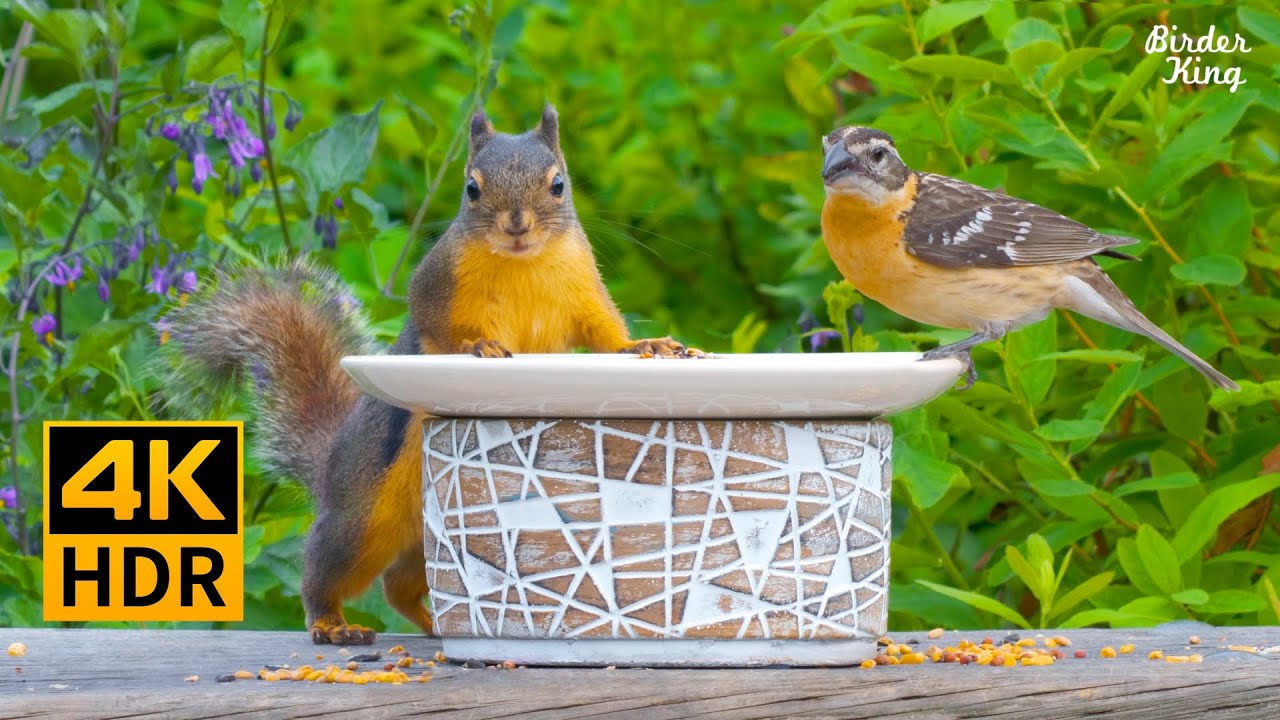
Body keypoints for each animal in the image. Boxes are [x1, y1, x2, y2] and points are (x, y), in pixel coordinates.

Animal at [157, 103, 686, 645]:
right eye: (471, 188)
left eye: (558, 184)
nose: (517, 224)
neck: (523, 263)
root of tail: (329, 466)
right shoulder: (433, 288)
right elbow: (438, 331)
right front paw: (479, 345)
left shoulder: (584, 291)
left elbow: (606, 333)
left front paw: (648, 346)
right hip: (359, 520)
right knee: (325, 571)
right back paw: (331, 623)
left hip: (424, 537)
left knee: (399, 587)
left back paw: (438, 625)